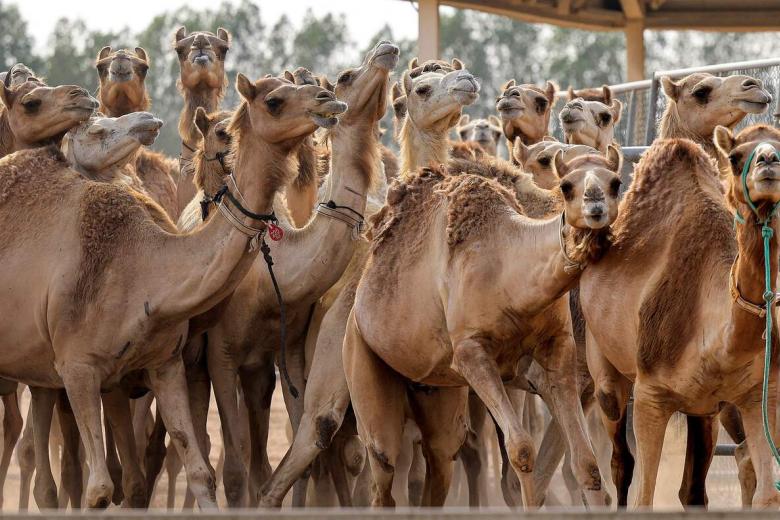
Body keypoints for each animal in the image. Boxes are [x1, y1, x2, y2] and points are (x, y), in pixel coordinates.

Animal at [0, 73, 344, 509]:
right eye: (275, 101)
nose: (328, 98)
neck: (145, 268)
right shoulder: (76, 367)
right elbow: (100, 489)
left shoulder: (164, 363)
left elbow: (199, 472)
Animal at [344, 146, 622, 508]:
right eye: (566, 186)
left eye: (616, 182)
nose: (595, 206)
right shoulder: (471, 354)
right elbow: (523, 453)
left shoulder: (558, 350)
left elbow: (586, 462)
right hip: (361, 356)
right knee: (383, 463)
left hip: (436, 390)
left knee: (442, 454)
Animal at [580, 125, 780, 509]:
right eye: (735, 157)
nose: (769, 161)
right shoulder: (650, 395)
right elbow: (644, 498)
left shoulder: (756, 395)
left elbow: (768, 494)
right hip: (602, 361)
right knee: (620, 459)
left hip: (706, 407)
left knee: (693, 487)